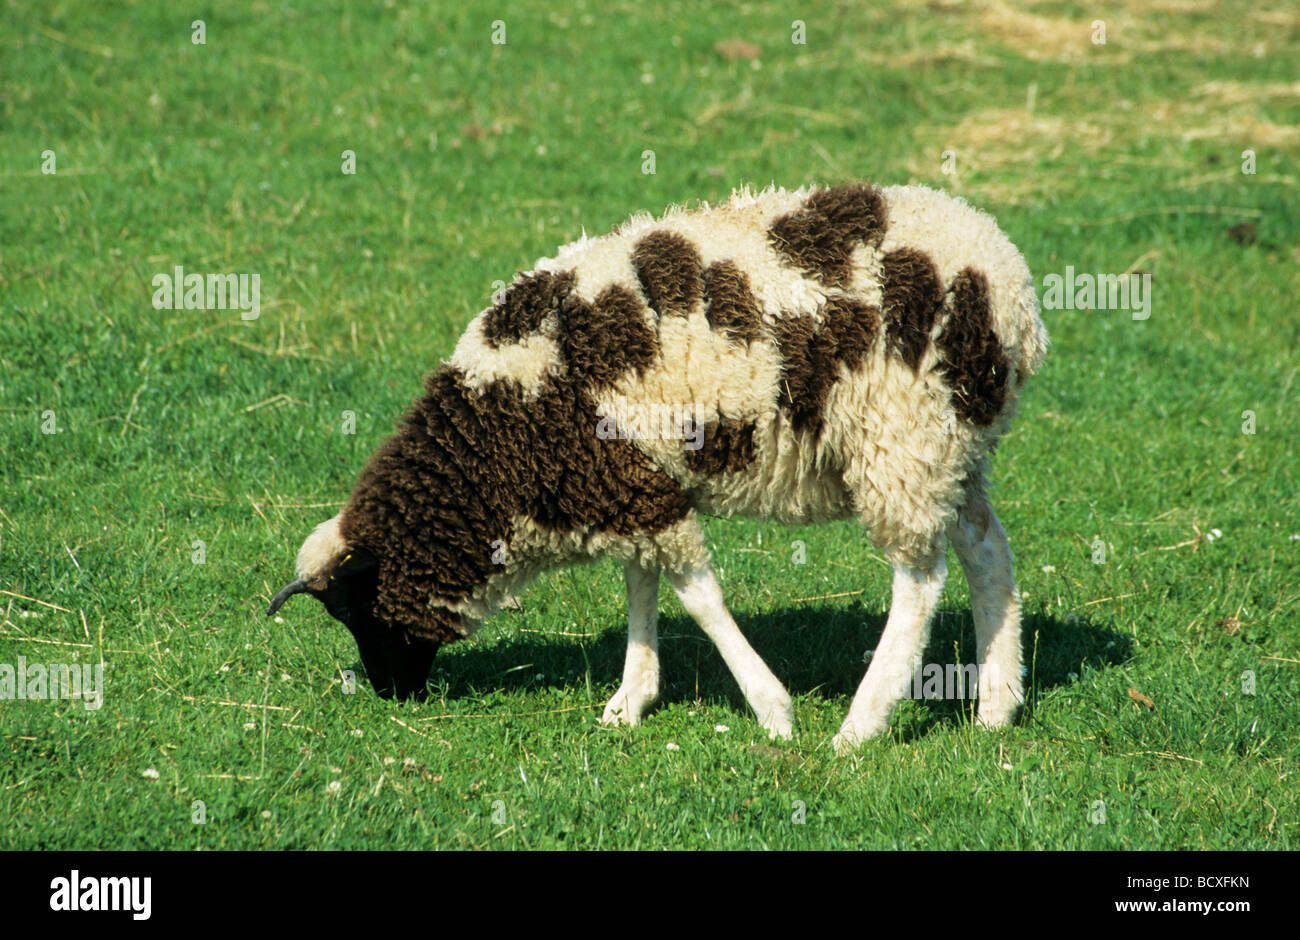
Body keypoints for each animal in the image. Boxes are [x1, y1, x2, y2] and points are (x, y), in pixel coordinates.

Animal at [267, 181, 1048, 751]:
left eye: (356, 608)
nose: (389, 693)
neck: (502, 438)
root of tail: (1009, 281)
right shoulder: (630, 480)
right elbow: (639, 584)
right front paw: (631, 698)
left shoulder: (635, 484)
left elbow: (696, 594)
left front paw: (771, 709)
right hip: (950, 447)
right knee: (987, 551)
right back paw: (996, 704)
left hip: (901, 440)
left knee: (920, 582)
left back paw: (860, 727)